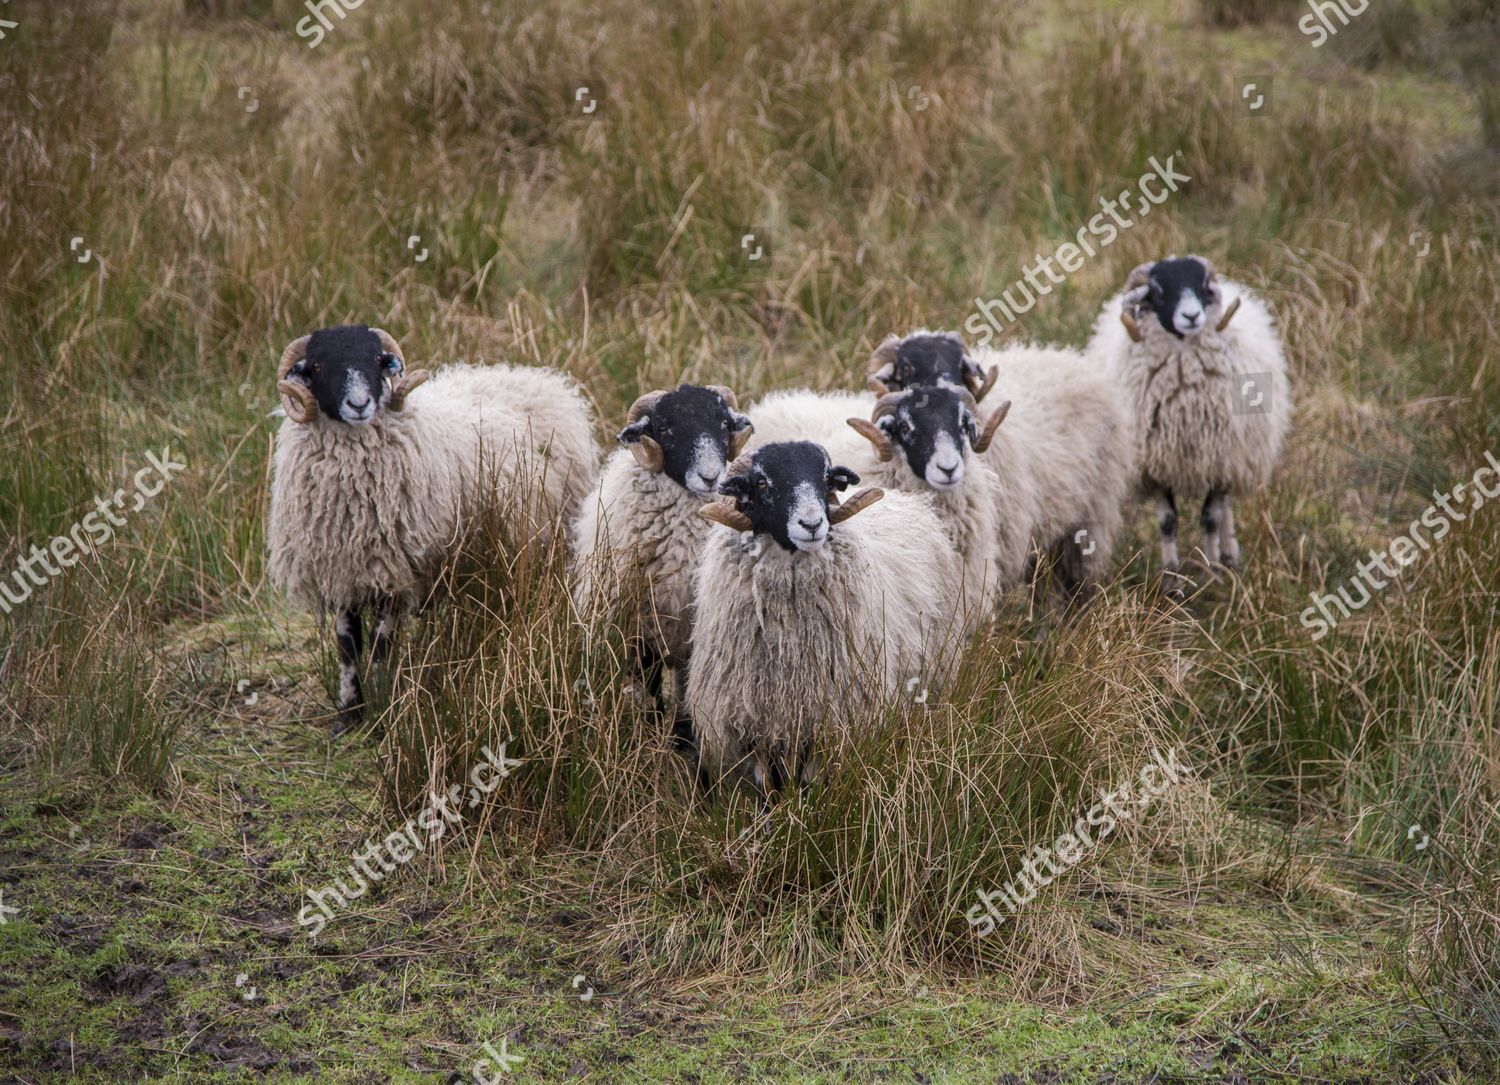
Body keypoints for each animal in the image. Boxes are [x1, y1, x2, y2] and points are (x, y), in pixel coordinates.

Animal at [268, 324, 599, 719]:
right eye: (317, 366)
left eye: (376, 360)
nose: (359, 405)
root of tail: (537, 377)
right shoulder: (341, 572)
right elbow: (347, 648)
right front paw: (349, 713)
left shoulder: (397, 571)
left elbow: (380, 644)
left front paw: (382, 706)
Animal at [571, 384, 754, 721]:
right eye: (666, 429)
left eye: (723, 423)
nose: (711, 477)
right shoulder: (642, 624)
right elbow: (651, 686)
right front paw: (652, 725)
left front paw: (683, 731)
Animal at [686, 440, 963, 794]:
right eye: (761, 483)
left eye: (826, 478)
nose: (812, 524)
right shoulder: (758, 725)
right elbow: (770, 788)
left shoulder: (831, 720)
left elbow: (814, 785)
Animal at [1085, 255, 1290, 593]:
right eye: (1157, 290)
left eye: (1202, 286)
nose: (1192, 316)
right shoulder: (1157, 466)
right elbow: (1167, 523)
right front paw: (1171, 580)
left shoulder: (1220, 460)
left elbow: (1210, 519)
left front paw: (1213, 574)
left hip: (1237, 456)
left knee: (1224, 510)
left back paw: (1229, 558)